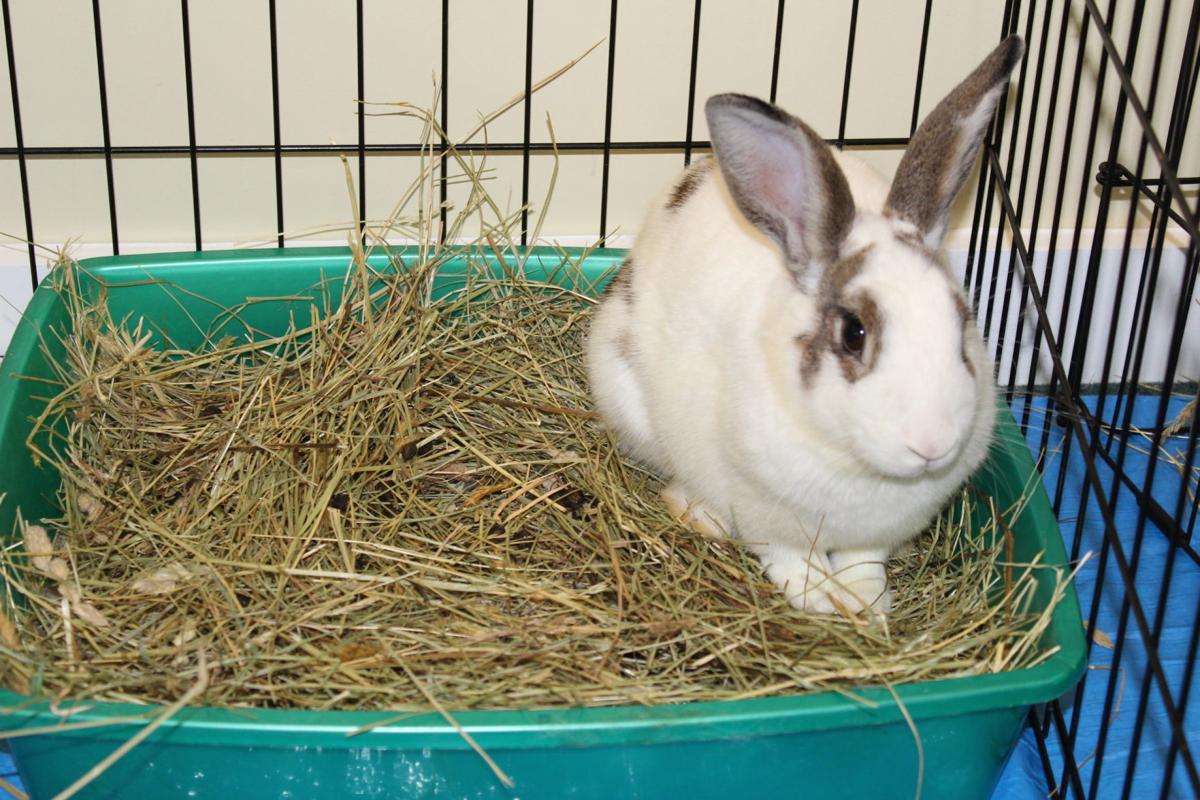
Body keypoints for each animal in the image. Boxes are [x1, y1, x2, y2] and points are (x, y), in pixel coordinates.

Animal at [585, 36, 1024, 615]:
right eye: (853, 333)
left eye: (963, 320)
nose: (932, 443)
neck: (854, 462)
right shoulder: (765, 515)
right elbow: (789, 558)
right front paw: (818, 597)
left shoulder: (878, 533)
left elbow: (865, 561)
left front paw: (867, 604)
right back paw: (696, 512)